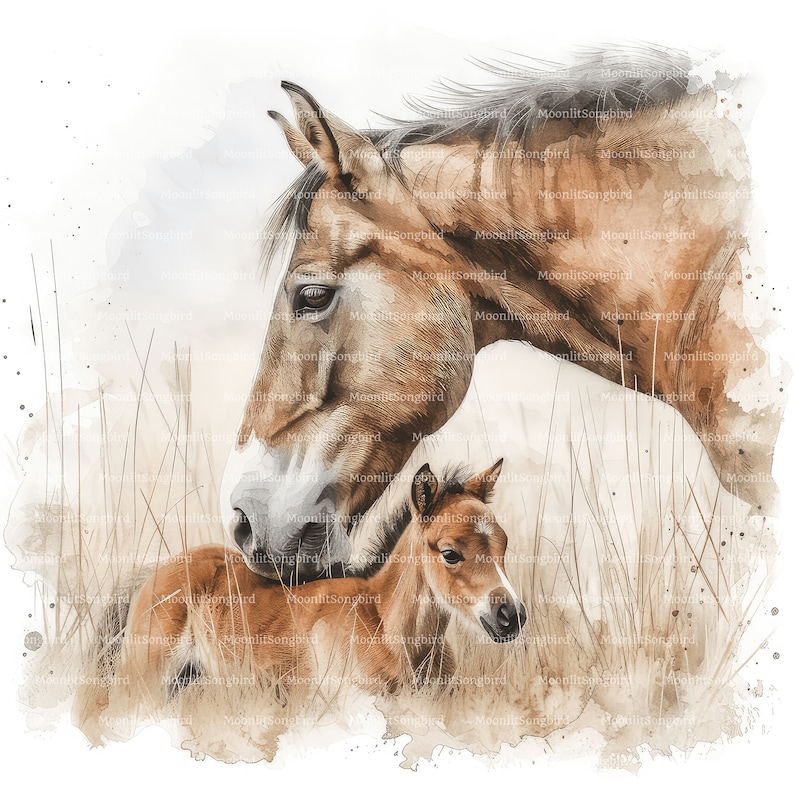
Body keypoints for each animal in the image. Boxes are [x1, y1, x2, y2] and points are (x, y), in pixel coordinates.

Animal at [117, 460, 525, 703]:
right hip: (146, 682)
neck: (388, 631)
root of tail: (155, 574)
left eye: (504, 543)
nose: (512, 616)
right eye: (450, 552)